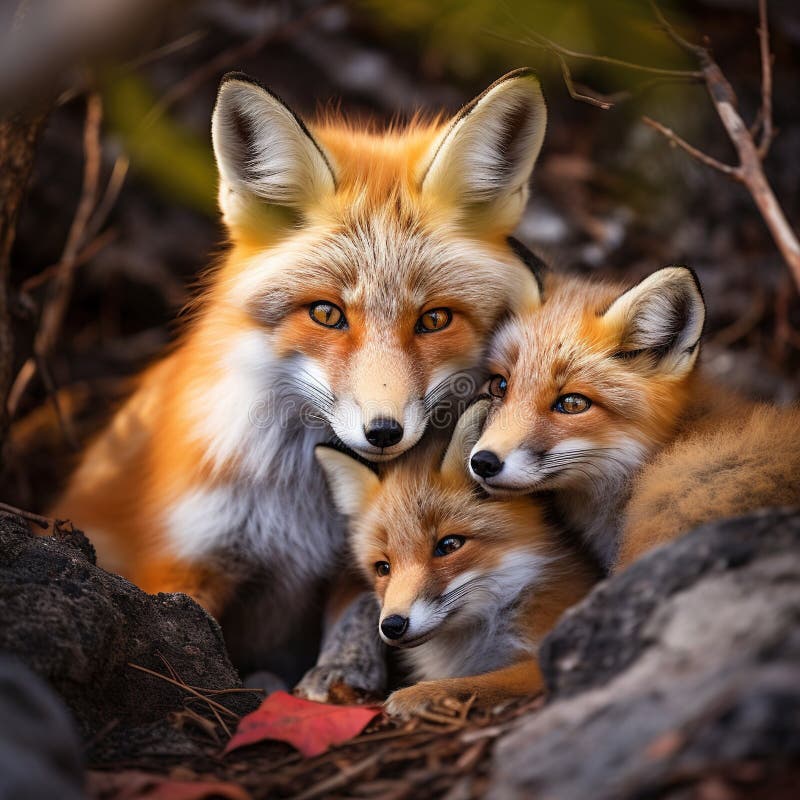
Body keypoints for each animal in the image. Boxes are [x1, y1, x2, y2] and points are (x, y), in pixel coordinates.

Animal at [50, 69, 548, 690]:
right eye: (327, 314)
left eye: (435, 319)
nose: (383, 432)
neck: (304, 504)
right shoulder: (187, 554)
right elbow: (189, 625)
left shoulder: (357, 558)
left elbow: (363, 615)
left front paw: (340, 678)